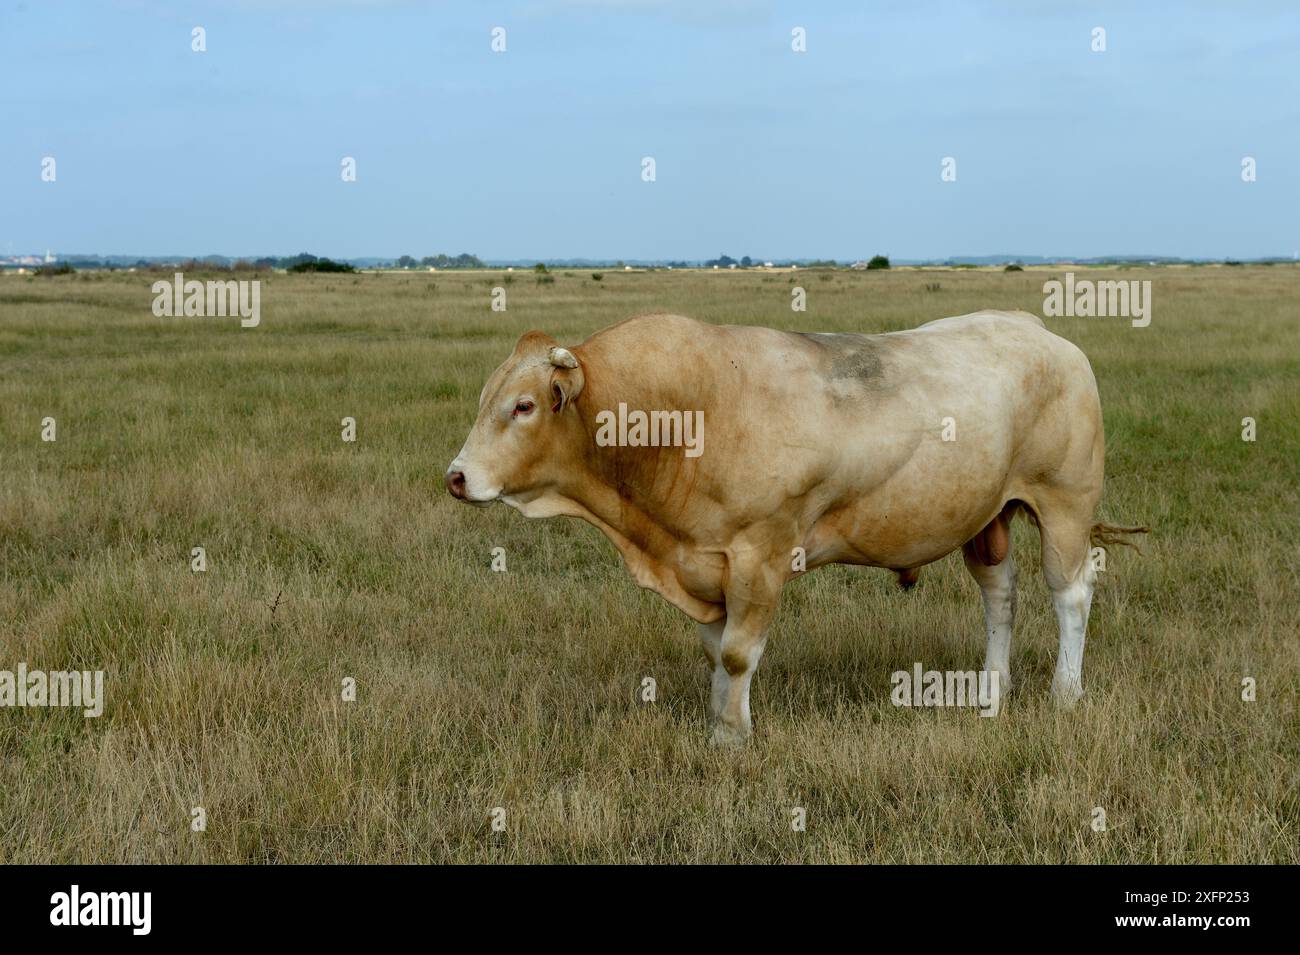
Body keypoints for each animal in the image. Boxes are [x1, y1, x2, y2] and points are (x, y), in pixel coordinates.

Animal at [446, 311, 1146, 745]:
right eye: (485, 400)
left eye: (523, 406)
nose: (456, 476)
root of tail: (1034, 328)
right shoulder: (706, 561)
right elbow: (716, 652)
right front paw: (720, 722)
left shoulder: (761, 551)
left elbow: (737, 652)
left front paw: (732, 739)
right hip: (987, 515)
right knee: (1000, 596)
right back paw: (991, 689)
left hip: (1064, 502)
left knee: (1071, 596)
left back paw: (1065, 692)